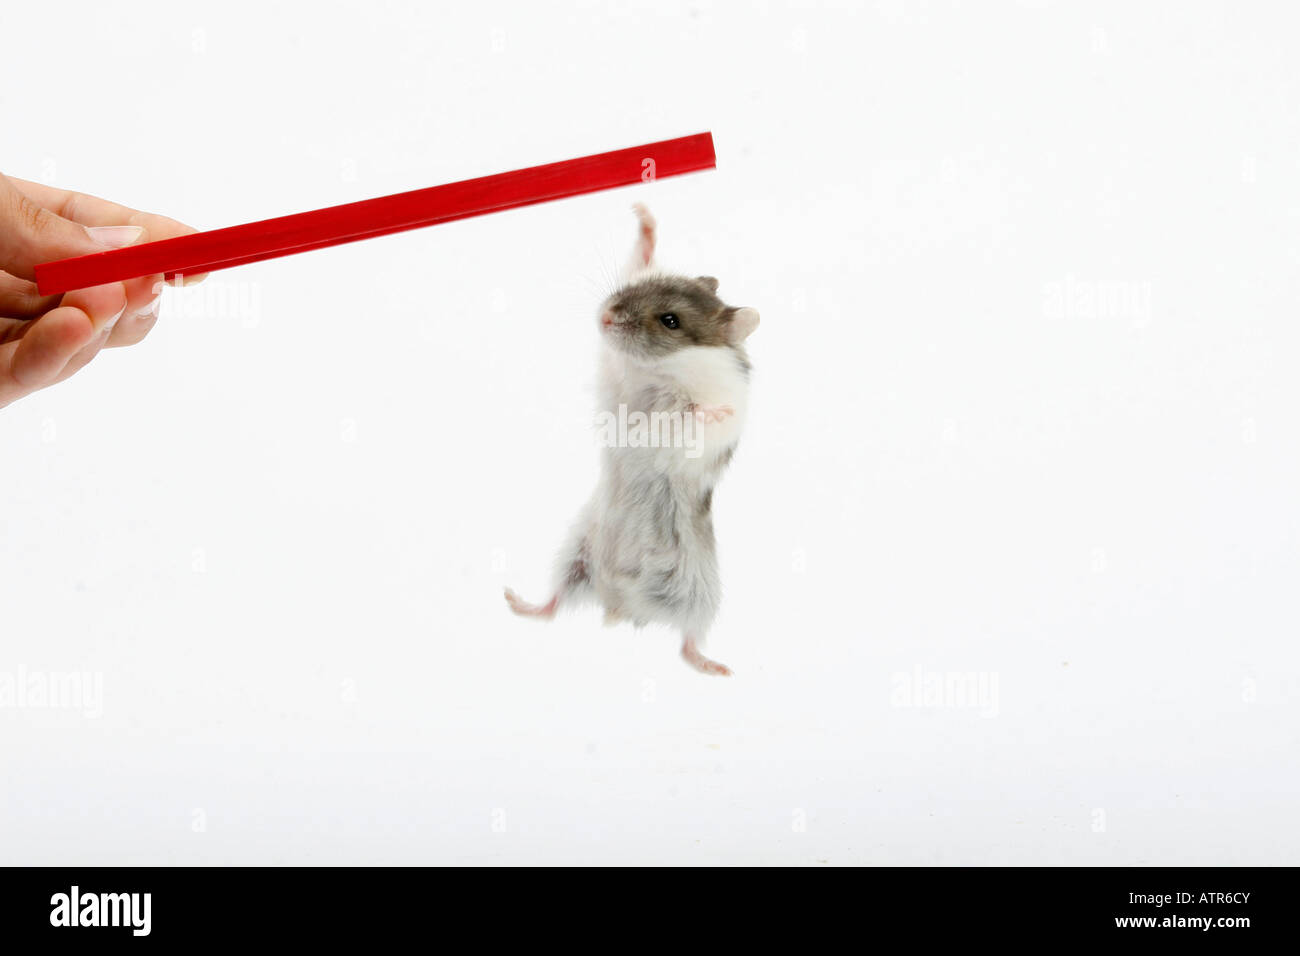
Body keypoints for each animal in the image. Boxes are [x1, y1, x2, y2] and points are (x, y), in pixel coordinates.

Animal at [504, 204, 759, 675]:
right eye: (640, 287)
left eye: (671, 321)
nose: (604, 315)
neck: (660, 371)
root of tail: (622, 603)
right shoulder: (615, 378)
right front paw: (644, 219)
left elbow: (697, 416)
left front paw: (708, 410)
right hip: (576, 554)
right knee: (552, 605)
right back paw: (516, 601)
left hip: (702, 595)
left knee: (689, 642)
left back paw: (716, 668)